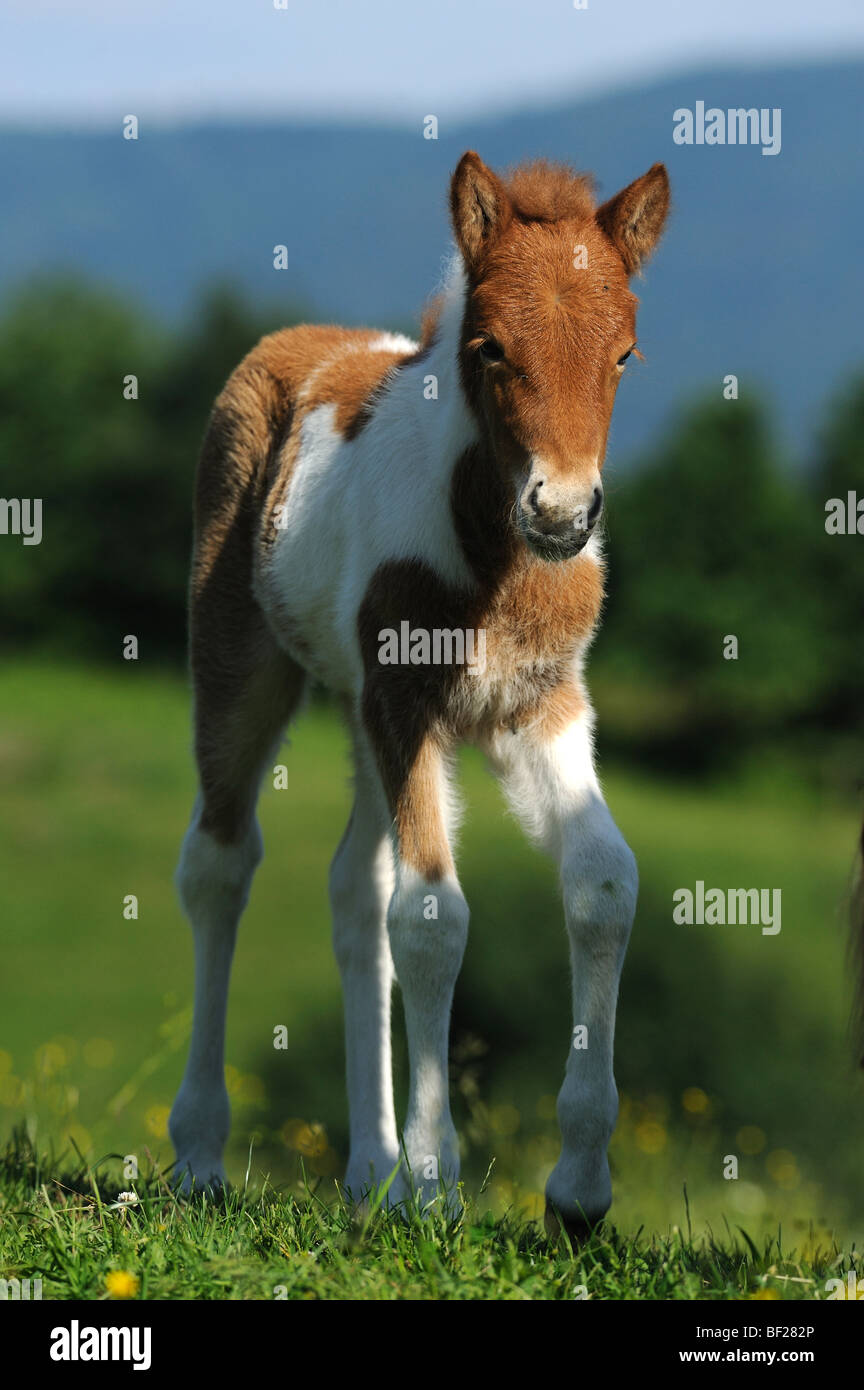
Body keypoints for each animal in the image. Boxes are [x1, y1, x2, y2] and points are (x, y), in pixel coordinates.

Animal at [168, 150, 670, 1236]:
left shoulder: (541, 707)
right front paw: (438, 1186)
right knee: (219, 865)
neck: (491, 556)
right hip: (242, 664)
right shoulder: (409, 703)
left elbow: (603, 884)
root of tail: (301, 340)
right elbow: (435, 916)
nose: (563, 514)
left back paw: (371, 1170)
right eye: (489, 348)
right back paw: (199, 1155)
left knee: (353, 889)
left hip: (360, 714)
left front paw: (578, 1188)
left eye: (624, 355)